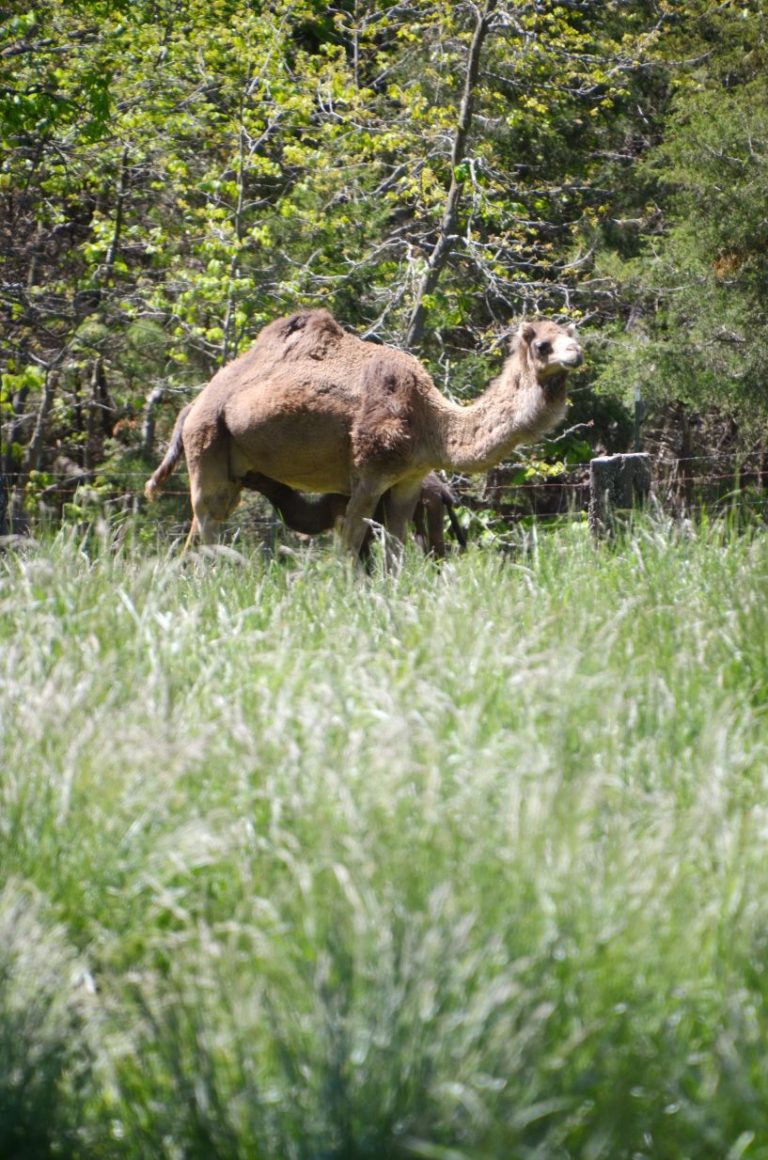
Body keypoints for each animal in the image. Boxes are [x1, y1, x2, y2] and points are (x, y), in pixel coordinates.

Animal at [145, 309, 583, 557]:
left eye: (572, 337)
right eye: (543, 345)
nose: (575, 354)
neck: (431, 423)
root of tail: (192, 406)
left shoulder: (408, 480)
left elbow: (397, 549)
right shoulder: (369, 472)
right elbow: (349, 544)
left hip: (230, 463)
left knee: (201, 525)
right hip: (208, 442)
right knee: (207, 518)